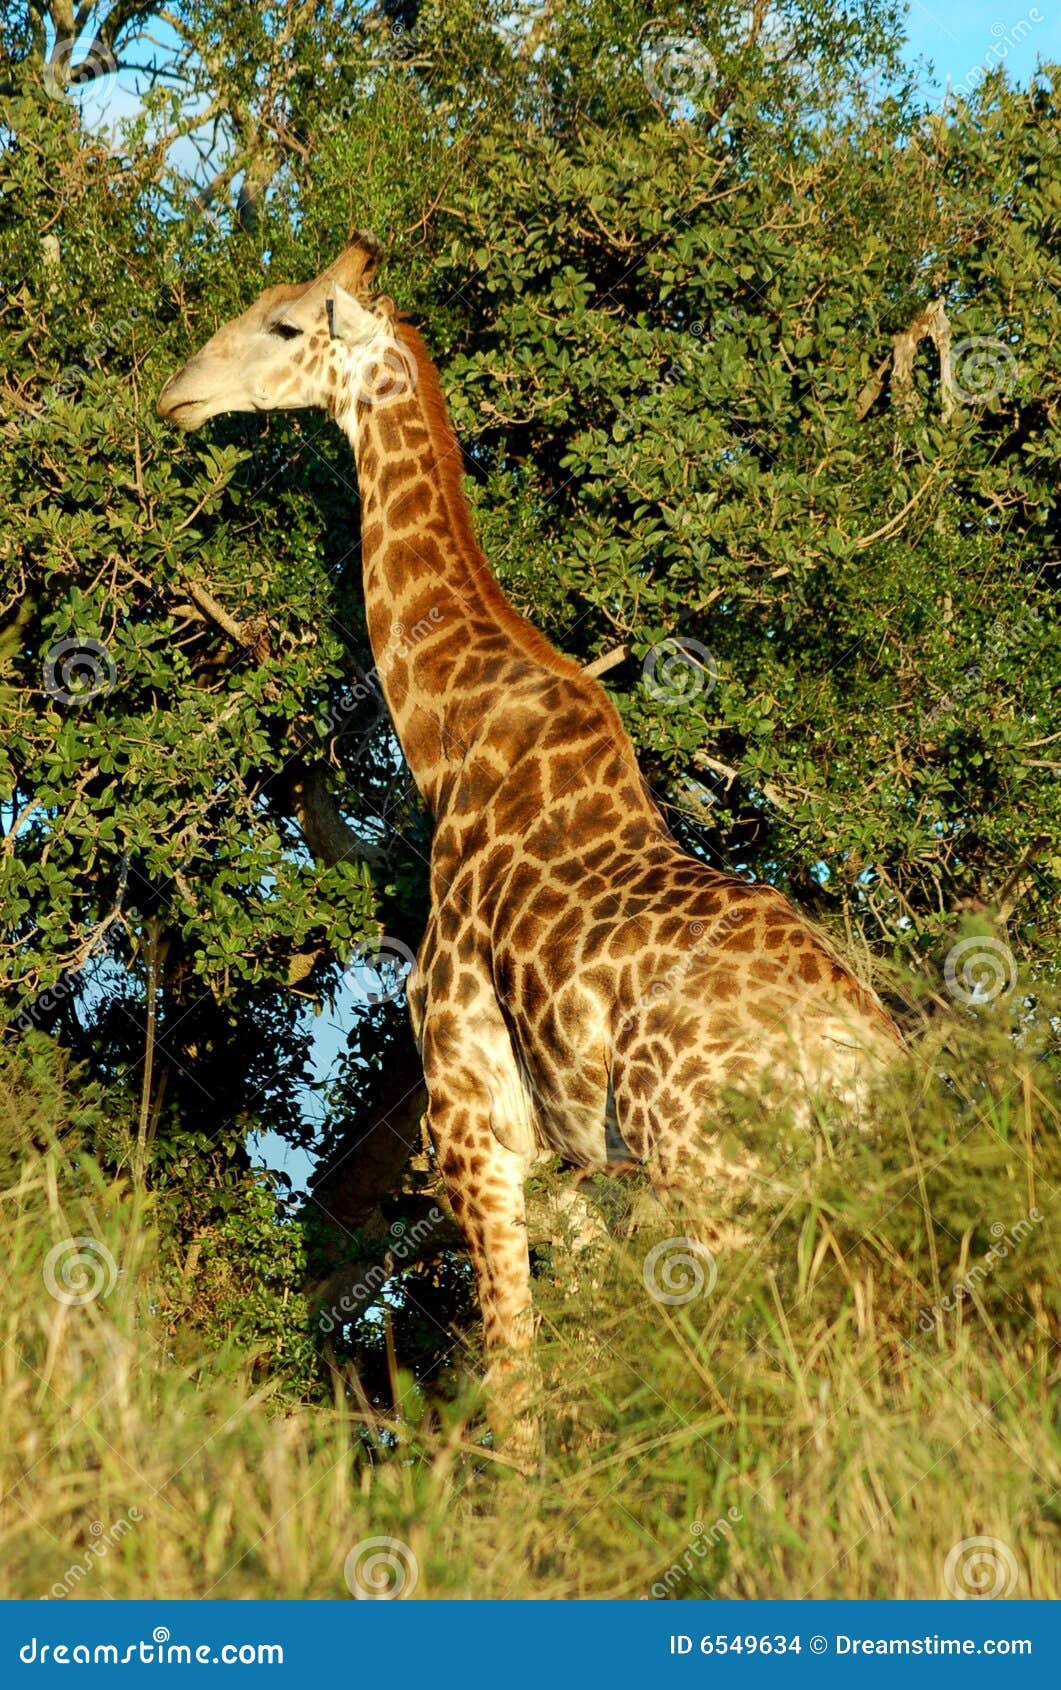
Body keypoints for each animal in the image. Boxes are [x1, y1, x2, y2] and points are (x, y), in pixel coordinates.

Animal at [158, 235, 900, 1456]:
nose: (178, 392)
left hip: (709, 1178)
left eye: (282, 326)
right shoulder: (564, 1157)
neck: (450, 742)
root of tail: (865, 1064)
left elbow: (514, 1390)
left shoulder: (472, 1120)